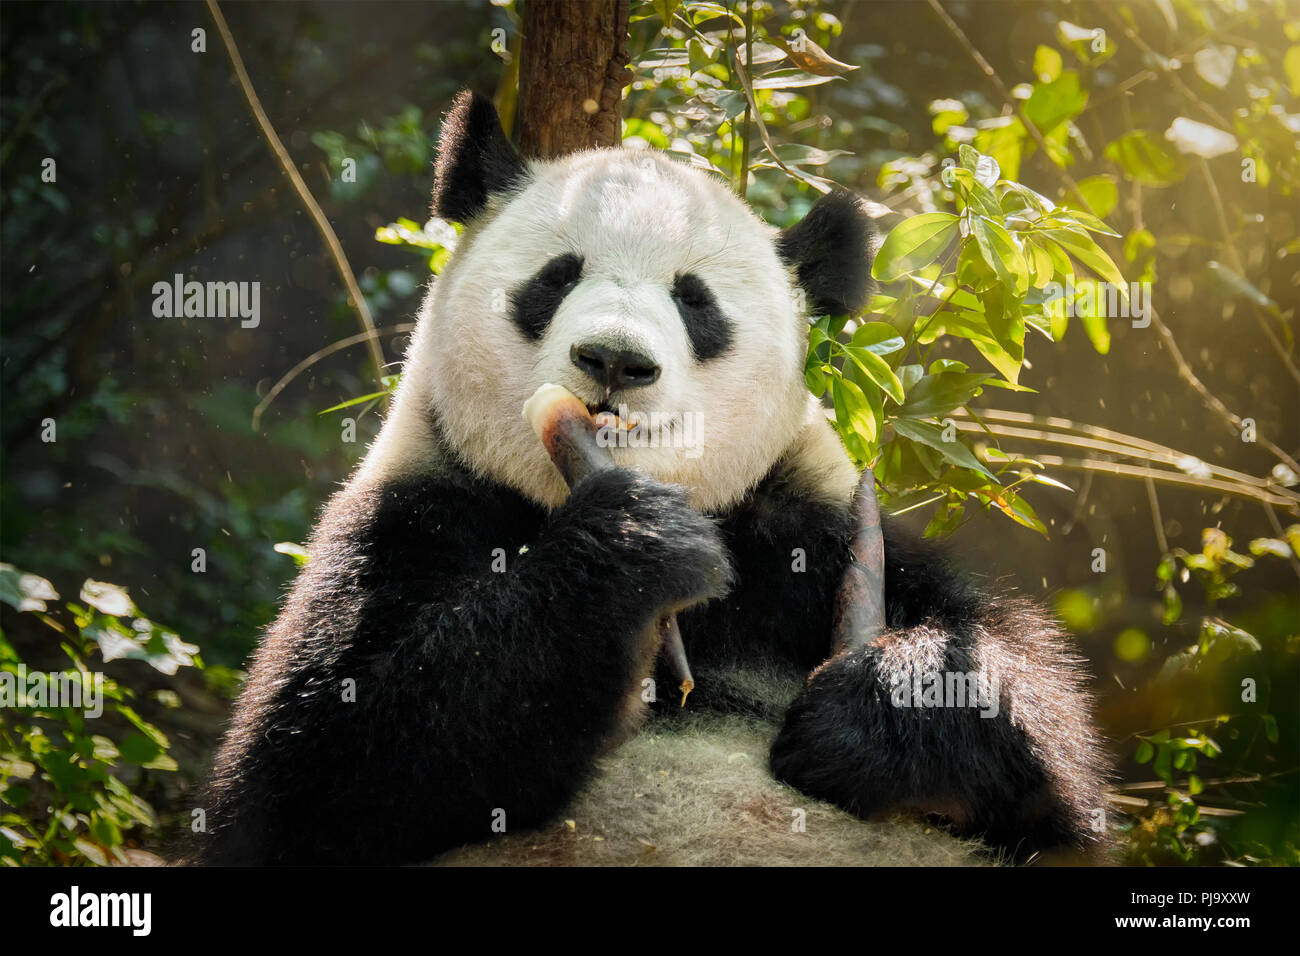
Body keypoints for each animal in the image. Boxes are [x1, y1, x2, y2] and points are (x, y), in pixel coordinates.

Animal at [192, 90, 1109, 866]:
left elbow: (1040, 736)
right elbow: (313, 772)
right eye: (557, 275)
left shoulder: (811, 527)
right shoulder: (416, 511)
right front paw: (636, 544)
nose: (614, 361)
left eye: (695, 301)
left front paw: (869, 713)